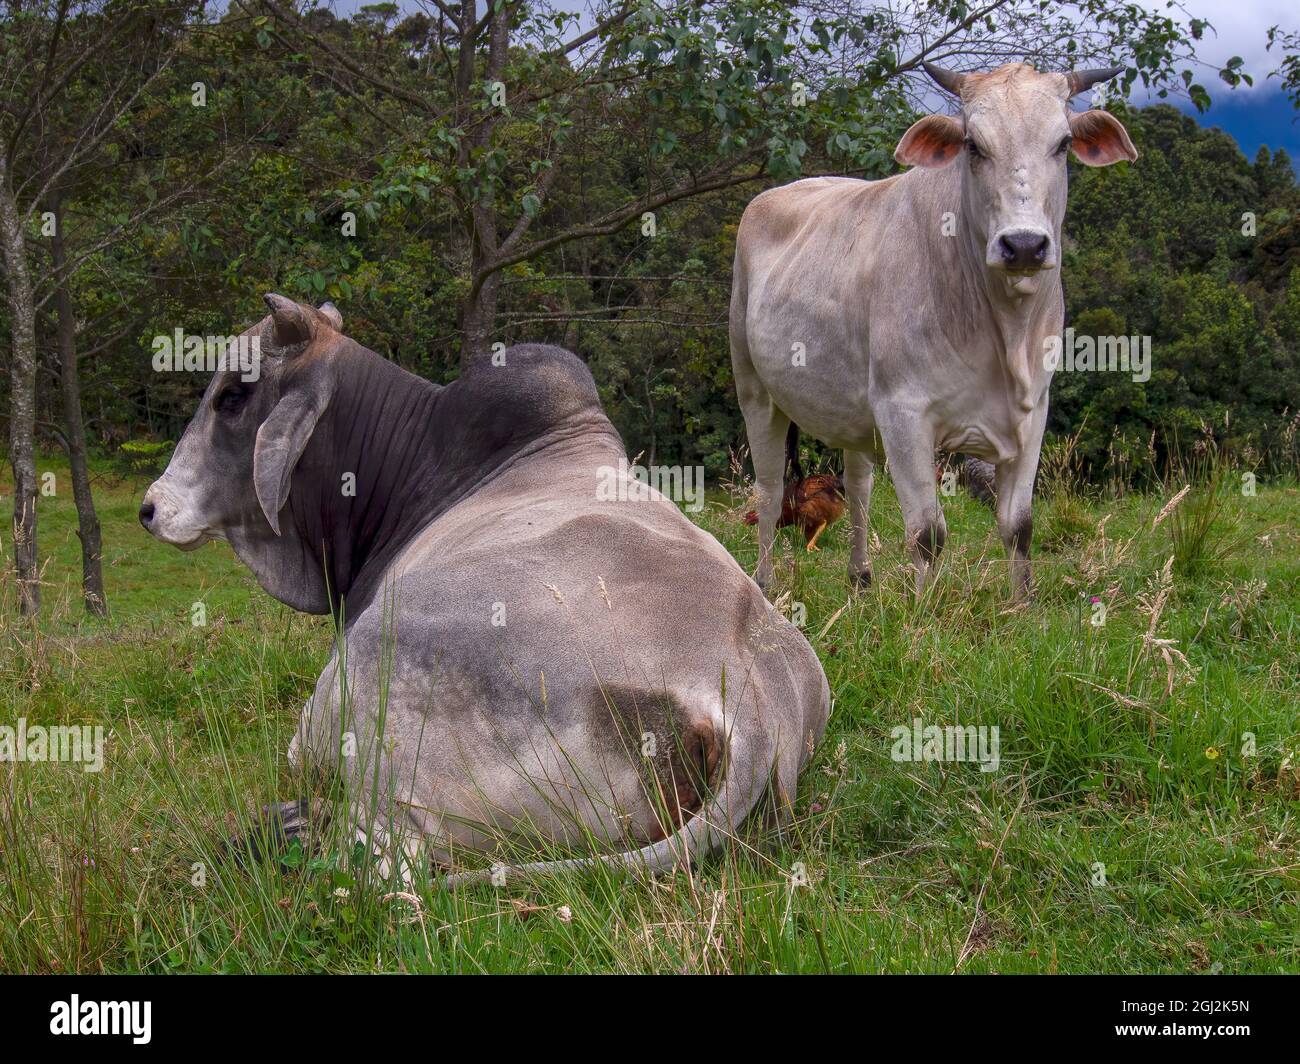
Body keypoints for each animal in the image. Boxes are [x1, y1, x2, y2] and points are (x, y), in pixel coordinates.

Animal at [140, 295, 829, 887]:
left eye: (232, 396)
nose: (150, 508)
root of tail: (755, 702)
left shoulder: (316, 720)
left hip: (376, 680)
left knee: (387, 862)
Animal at [731, 62, 1137, 599]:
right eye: (973, 145)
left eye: (1064, 143)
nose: (1024, 245)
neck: (1005, 329)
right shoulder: (903, 411)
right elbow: (926, 534)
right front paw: (926, 611)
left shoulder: (1033, 411)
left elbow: (1019, 525)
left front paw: (1022, 605)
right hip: (754, 387)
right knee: (771, 490)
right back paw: (764, 581)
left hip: (852, 409)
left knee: (857, 486)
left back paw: (860, 579)